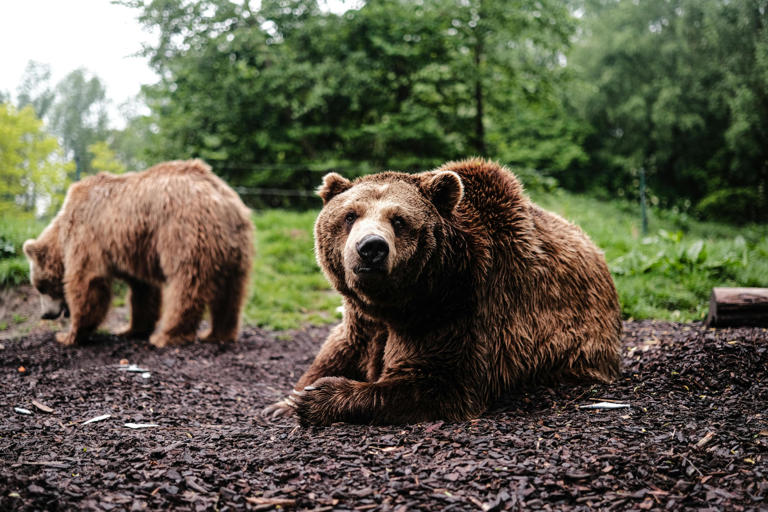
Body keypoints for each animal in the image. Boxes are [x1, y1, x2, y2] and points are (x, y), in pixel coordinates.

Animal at [23, 159, 253, 348]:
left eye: (40, 286)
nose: (46, 315)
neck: (62, 232)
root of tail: (219, 196)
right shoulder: (133, 249)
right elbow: (143, 291)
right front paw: (130, 329)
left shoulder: (88, 235)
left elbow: (87, 281)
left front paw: (69, 335)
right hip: (235, 245)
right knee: (231, 291)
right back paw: (217, 334)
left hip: (183, 231)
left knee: (186, 285)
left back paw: (166, 336)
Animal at [264, 158, 622, 425]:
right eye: (349, 215)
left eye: (399, 220)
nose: (371, 248)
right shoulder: (363, 318)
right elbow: (340, 346)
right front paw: (285, 401)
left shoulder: (462, 310)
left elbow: (442, 382)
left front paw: (320, 397)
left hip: (582, 343)